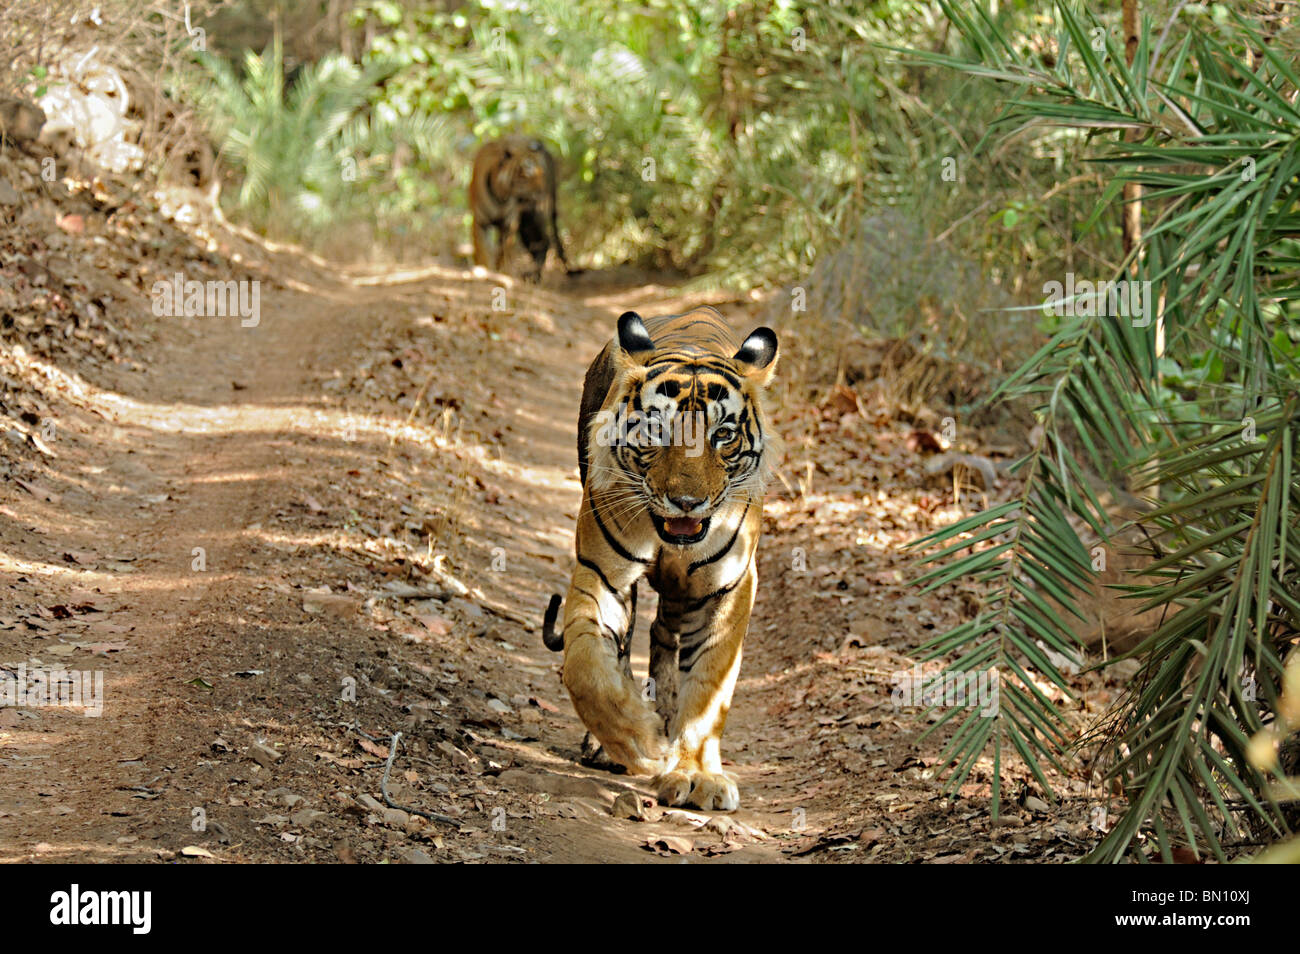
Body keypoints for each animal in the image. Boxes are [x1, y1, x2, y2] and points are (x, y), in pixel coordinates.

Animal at [469, 134, 570, 281]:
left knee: (545, 242)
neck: (501, 197)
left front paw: (503, 271)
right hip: (527, 225)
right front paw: (484, 269)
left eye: (542, 174)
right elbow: (482, 249)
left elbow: (505, 249)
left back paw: (533, 276)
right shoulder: (480, 222)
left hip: (535, 217)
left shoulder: (510, 223)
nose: (542, 192)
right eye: (527, 175)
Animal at [542, 306, 779, 811]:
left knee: (665, 633)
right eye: (656, 431)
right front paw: (643, 744)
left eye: (723, 435)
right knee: (631, 640)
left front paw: (698, 775)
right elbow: (586, 669)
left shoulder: (730, 587)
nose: (687, 502)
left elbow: (708, 685)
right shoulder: (602, 572)